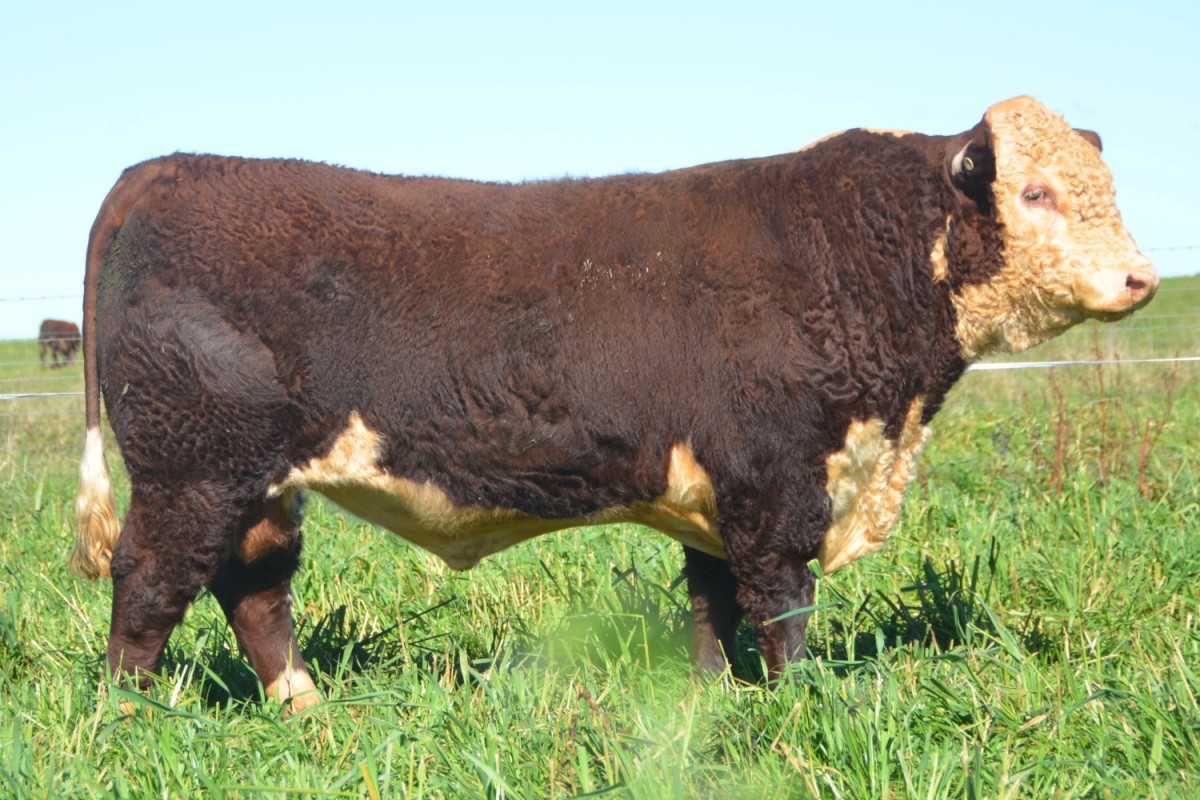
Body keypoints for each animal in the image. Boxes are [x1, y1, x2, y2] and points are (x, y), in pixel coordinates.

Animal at [73, 96, 1157, 713]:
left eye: (1104, 182)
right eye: (1038, 191)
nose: (1143, 278)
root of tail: (170, 166)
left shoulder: (722, 493)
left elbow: (714, 604)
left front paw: (714, 702)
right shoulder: (777, 482)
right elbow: (781, 603)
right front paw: (804, 704)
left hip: (255, 481)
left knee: (253, 586)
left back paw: (304, 707)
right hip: (190, 466)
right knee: (150, 581)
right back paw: (126, 718)